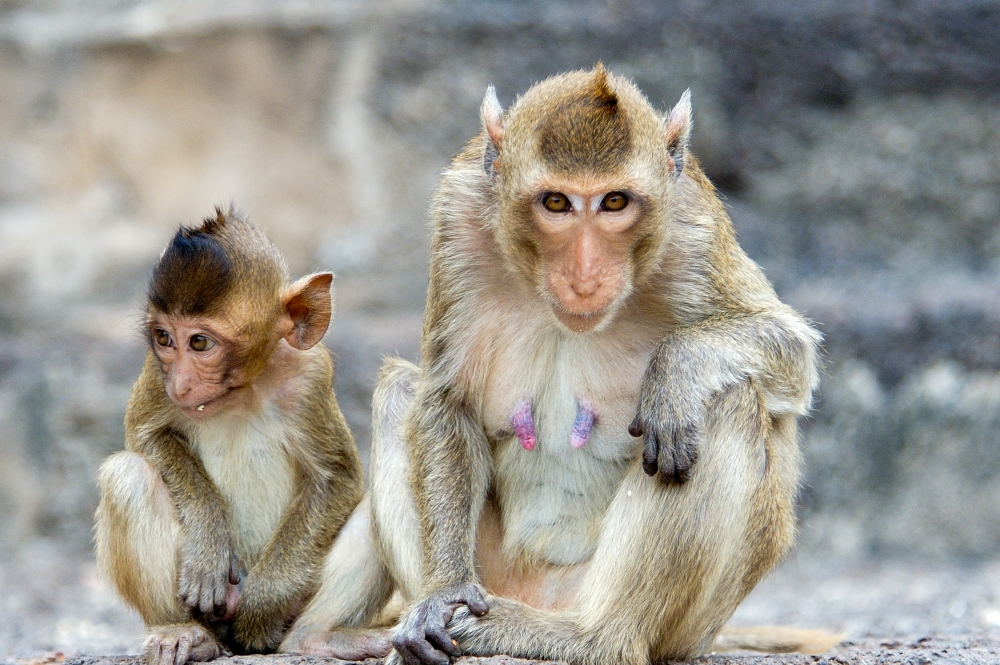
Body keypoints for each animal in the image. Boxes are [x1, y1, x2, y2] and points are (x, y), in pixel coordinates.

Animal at [94, 207, 365, 665]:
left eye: (200, 342)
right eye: (164, 338)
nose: (180, 384)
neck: (243, 389)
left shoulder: (310, 376)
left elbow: (336, 478)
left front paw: (261, 606)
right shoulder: (155, 370)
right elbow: (143, 435)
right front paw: (208, 547)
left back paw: (319, 638)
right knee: (128, 474)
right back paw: (183, 633)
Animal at [278, 65, 840, 664]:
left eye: (614, 202)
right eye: (555, 203)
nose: (585, 276)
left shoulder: (694, 228)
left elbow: (791, 351)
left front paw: (676, 370)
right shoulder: (458, 216)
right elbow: (446, 399)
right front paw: (443, 595)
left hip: (675, 622)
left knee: (725, 401)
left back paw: (593, 636)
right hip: (495, 575)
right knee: (399, 393)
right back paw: (335, 634)